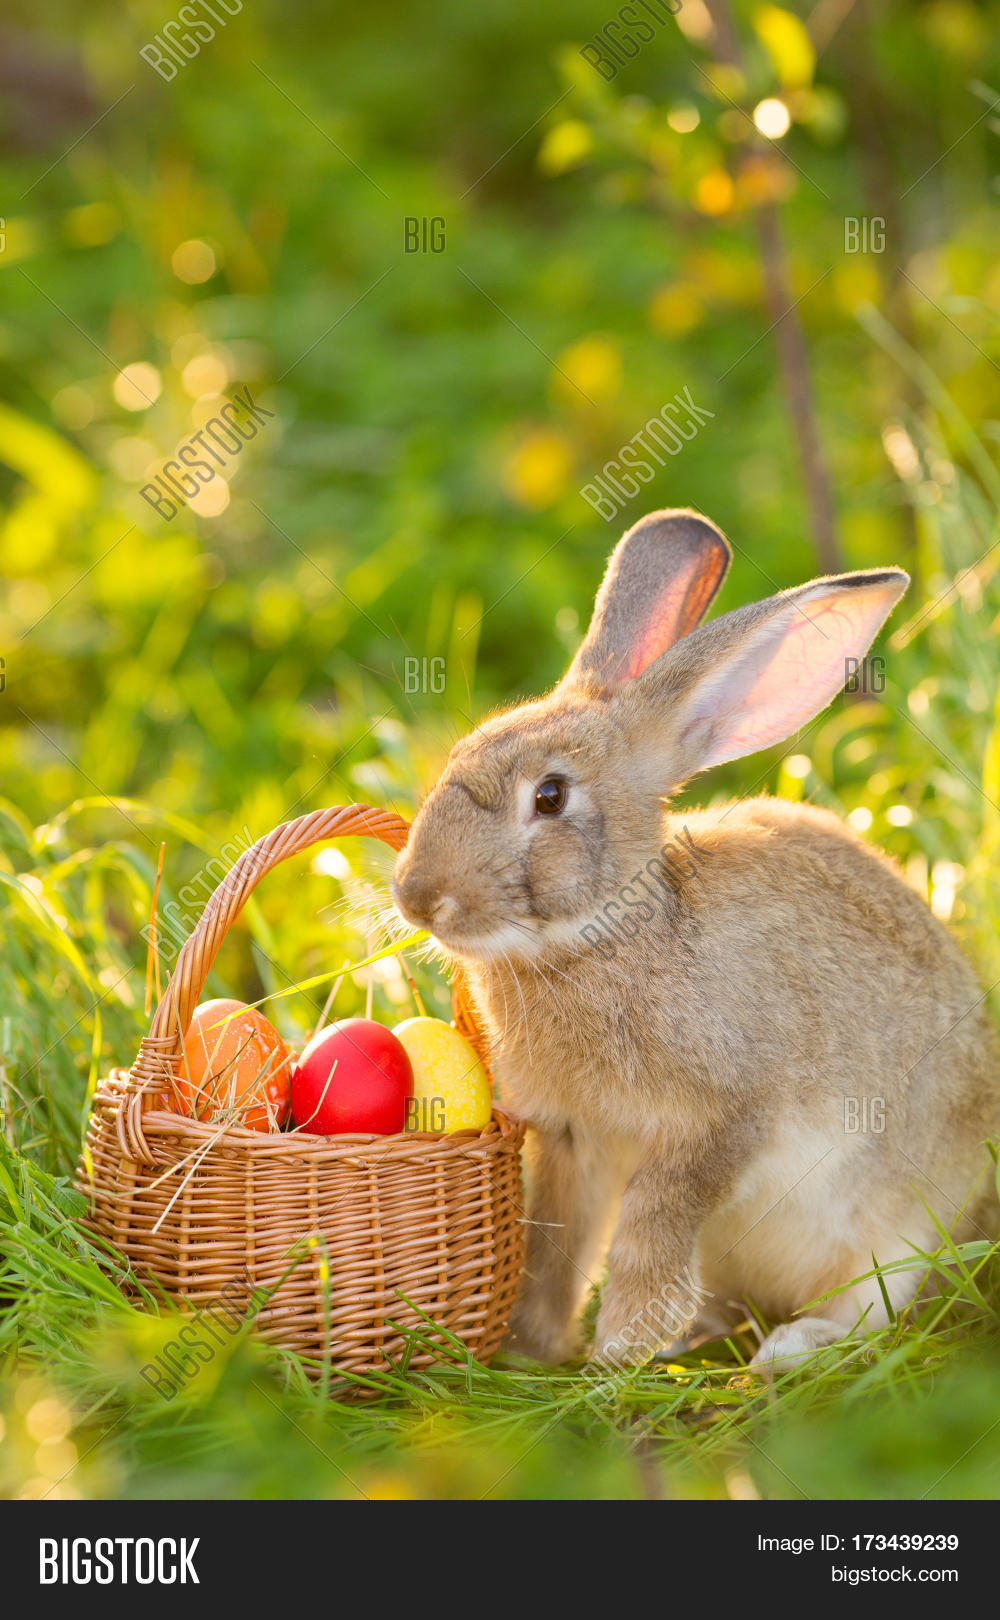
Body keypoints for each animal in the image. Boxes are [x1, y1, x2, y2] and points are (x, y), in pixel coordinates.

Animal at [391, 509, 1000, 1372]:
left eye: (550, 797)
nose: (417, 897)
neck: (596, 939)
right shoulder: (570, 1138)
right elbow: (557, 1239)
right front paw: (533, 1347)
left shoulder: (716, 1124)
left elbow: (650, 1230)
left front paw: (618, 1351)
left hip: (900, 1222)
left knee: (875, 1305)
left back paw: (789, 1348)